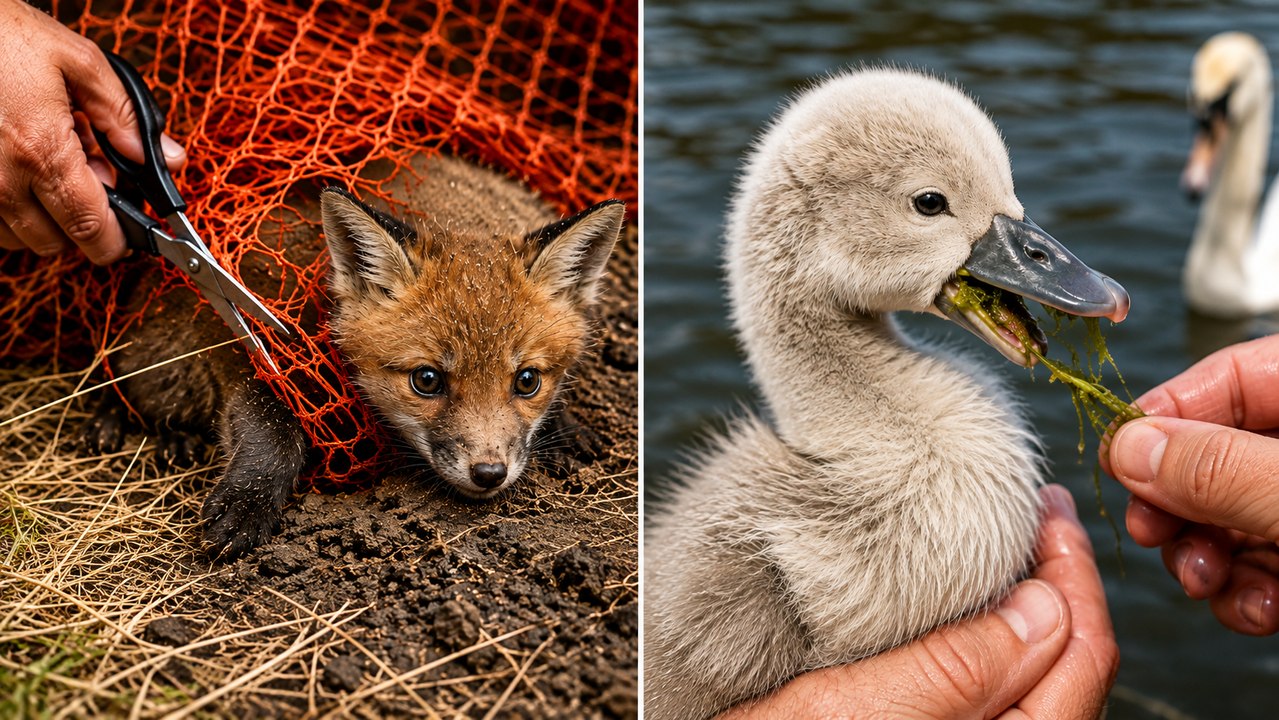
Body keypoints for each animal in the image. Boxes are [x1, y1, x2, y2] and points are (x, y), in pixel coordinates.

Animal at [79, 154, 625, 559]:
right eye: (427, 380)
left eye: (527, 381)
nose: (489, 474)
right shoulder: (259, 359)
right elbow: (273, 432)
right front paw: (247, 503)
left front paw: (565, 427)